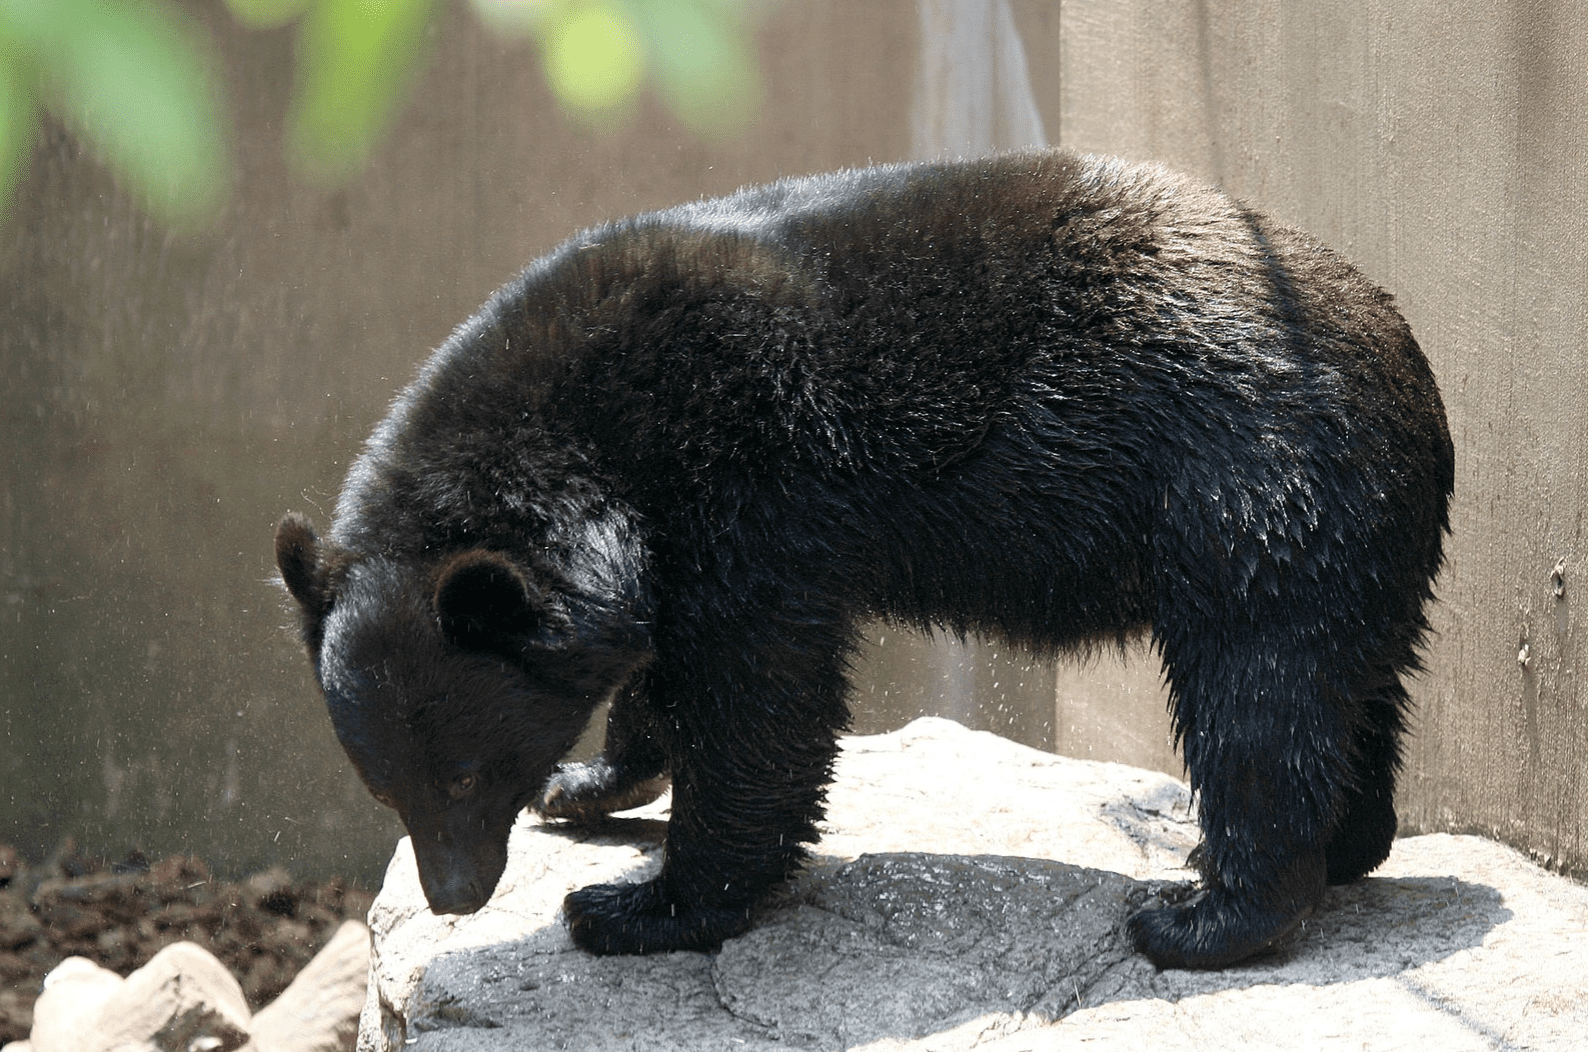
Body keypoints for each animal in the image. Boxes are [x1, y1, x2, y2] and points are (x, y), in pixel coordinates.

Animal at [274, 148, 1454, 970]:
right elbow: (675, 673)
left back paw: (1201, 914)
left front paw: (636, 906)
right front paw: (587, 785)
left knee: (1261, 694)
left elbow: (760, 697)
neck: (594, 434)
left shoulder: (752, 473)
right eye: (381, 784)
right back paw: (1341, 846)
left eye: (468, 771)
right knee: (1354, 686)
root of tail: (1414, 370)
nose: (455, 895)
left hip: (1252, 492)